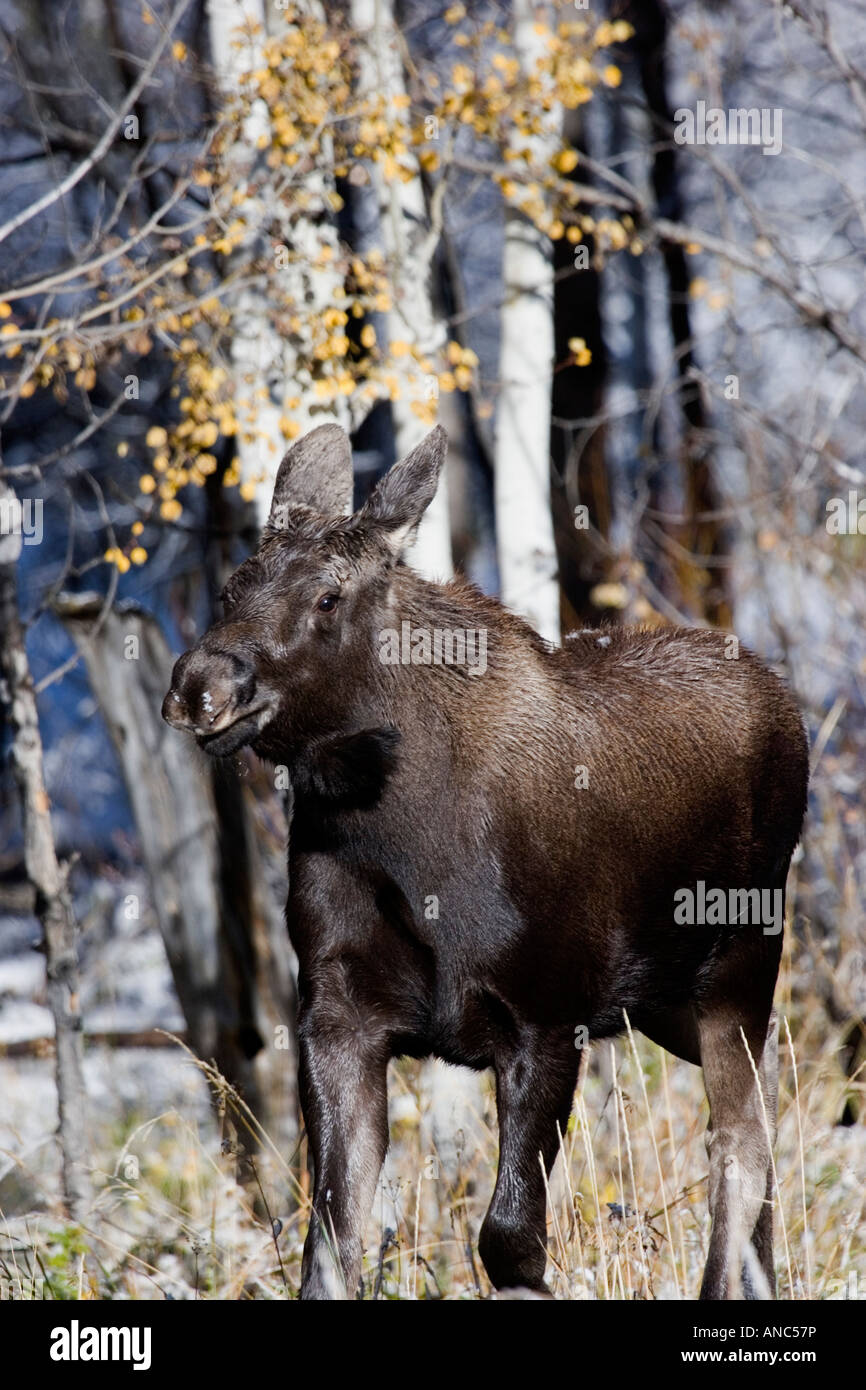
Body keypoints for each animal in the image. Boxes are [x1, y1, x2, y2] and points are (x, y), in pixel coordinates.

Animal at [162, 423, 809, 1300]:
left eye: (329, 598)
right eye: (232, 588)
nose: (200, 687)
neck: (402, 843)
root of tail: (786, 703)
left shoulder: (546, 1018)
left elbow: (510, 1240)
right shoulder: (336, 1020)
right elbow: (329, 1243)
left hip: (738, 966)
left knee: (740, 1141)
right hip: (666, 1001)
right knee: (765, 1109)